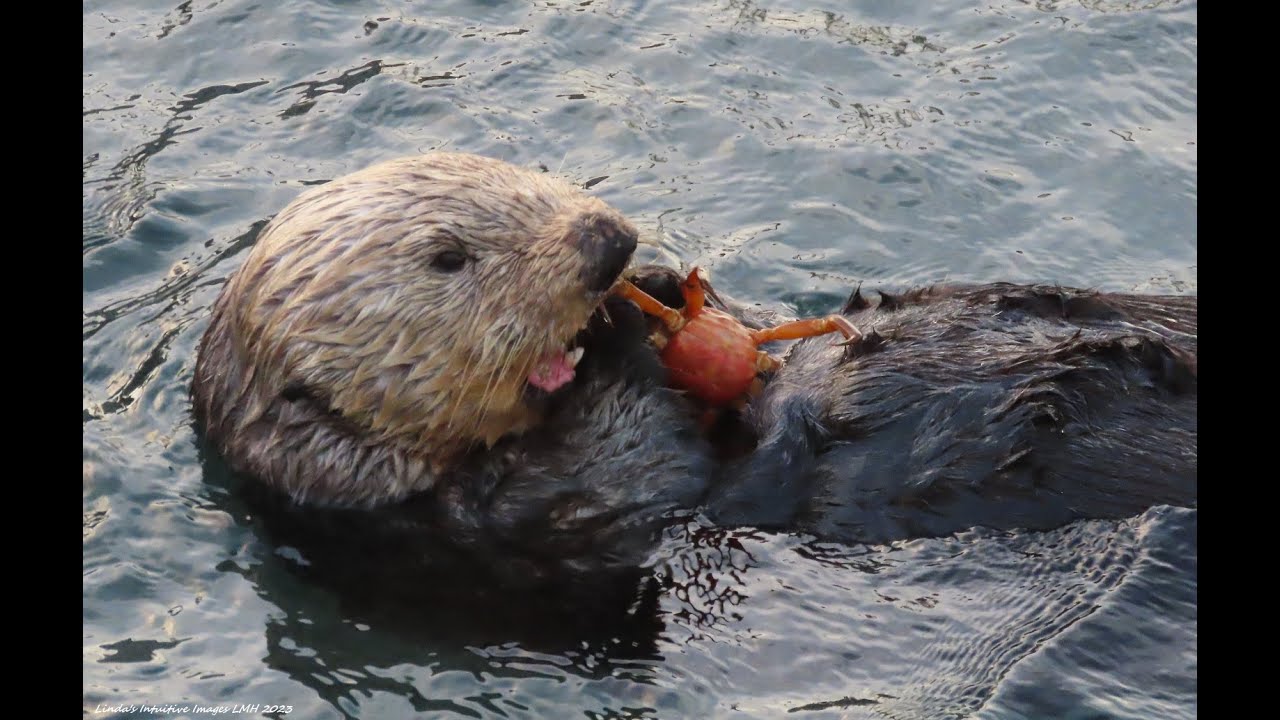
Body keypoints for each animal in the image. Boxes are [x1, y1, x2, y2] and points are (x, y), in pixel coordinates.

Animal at [193, 152, 1196, 591]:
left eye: (518, 174)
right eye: (448, 258)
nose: (609, 239)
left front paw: (664, 286)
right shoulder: (522, 518)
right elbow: (645, 453)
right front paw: (621, 332)